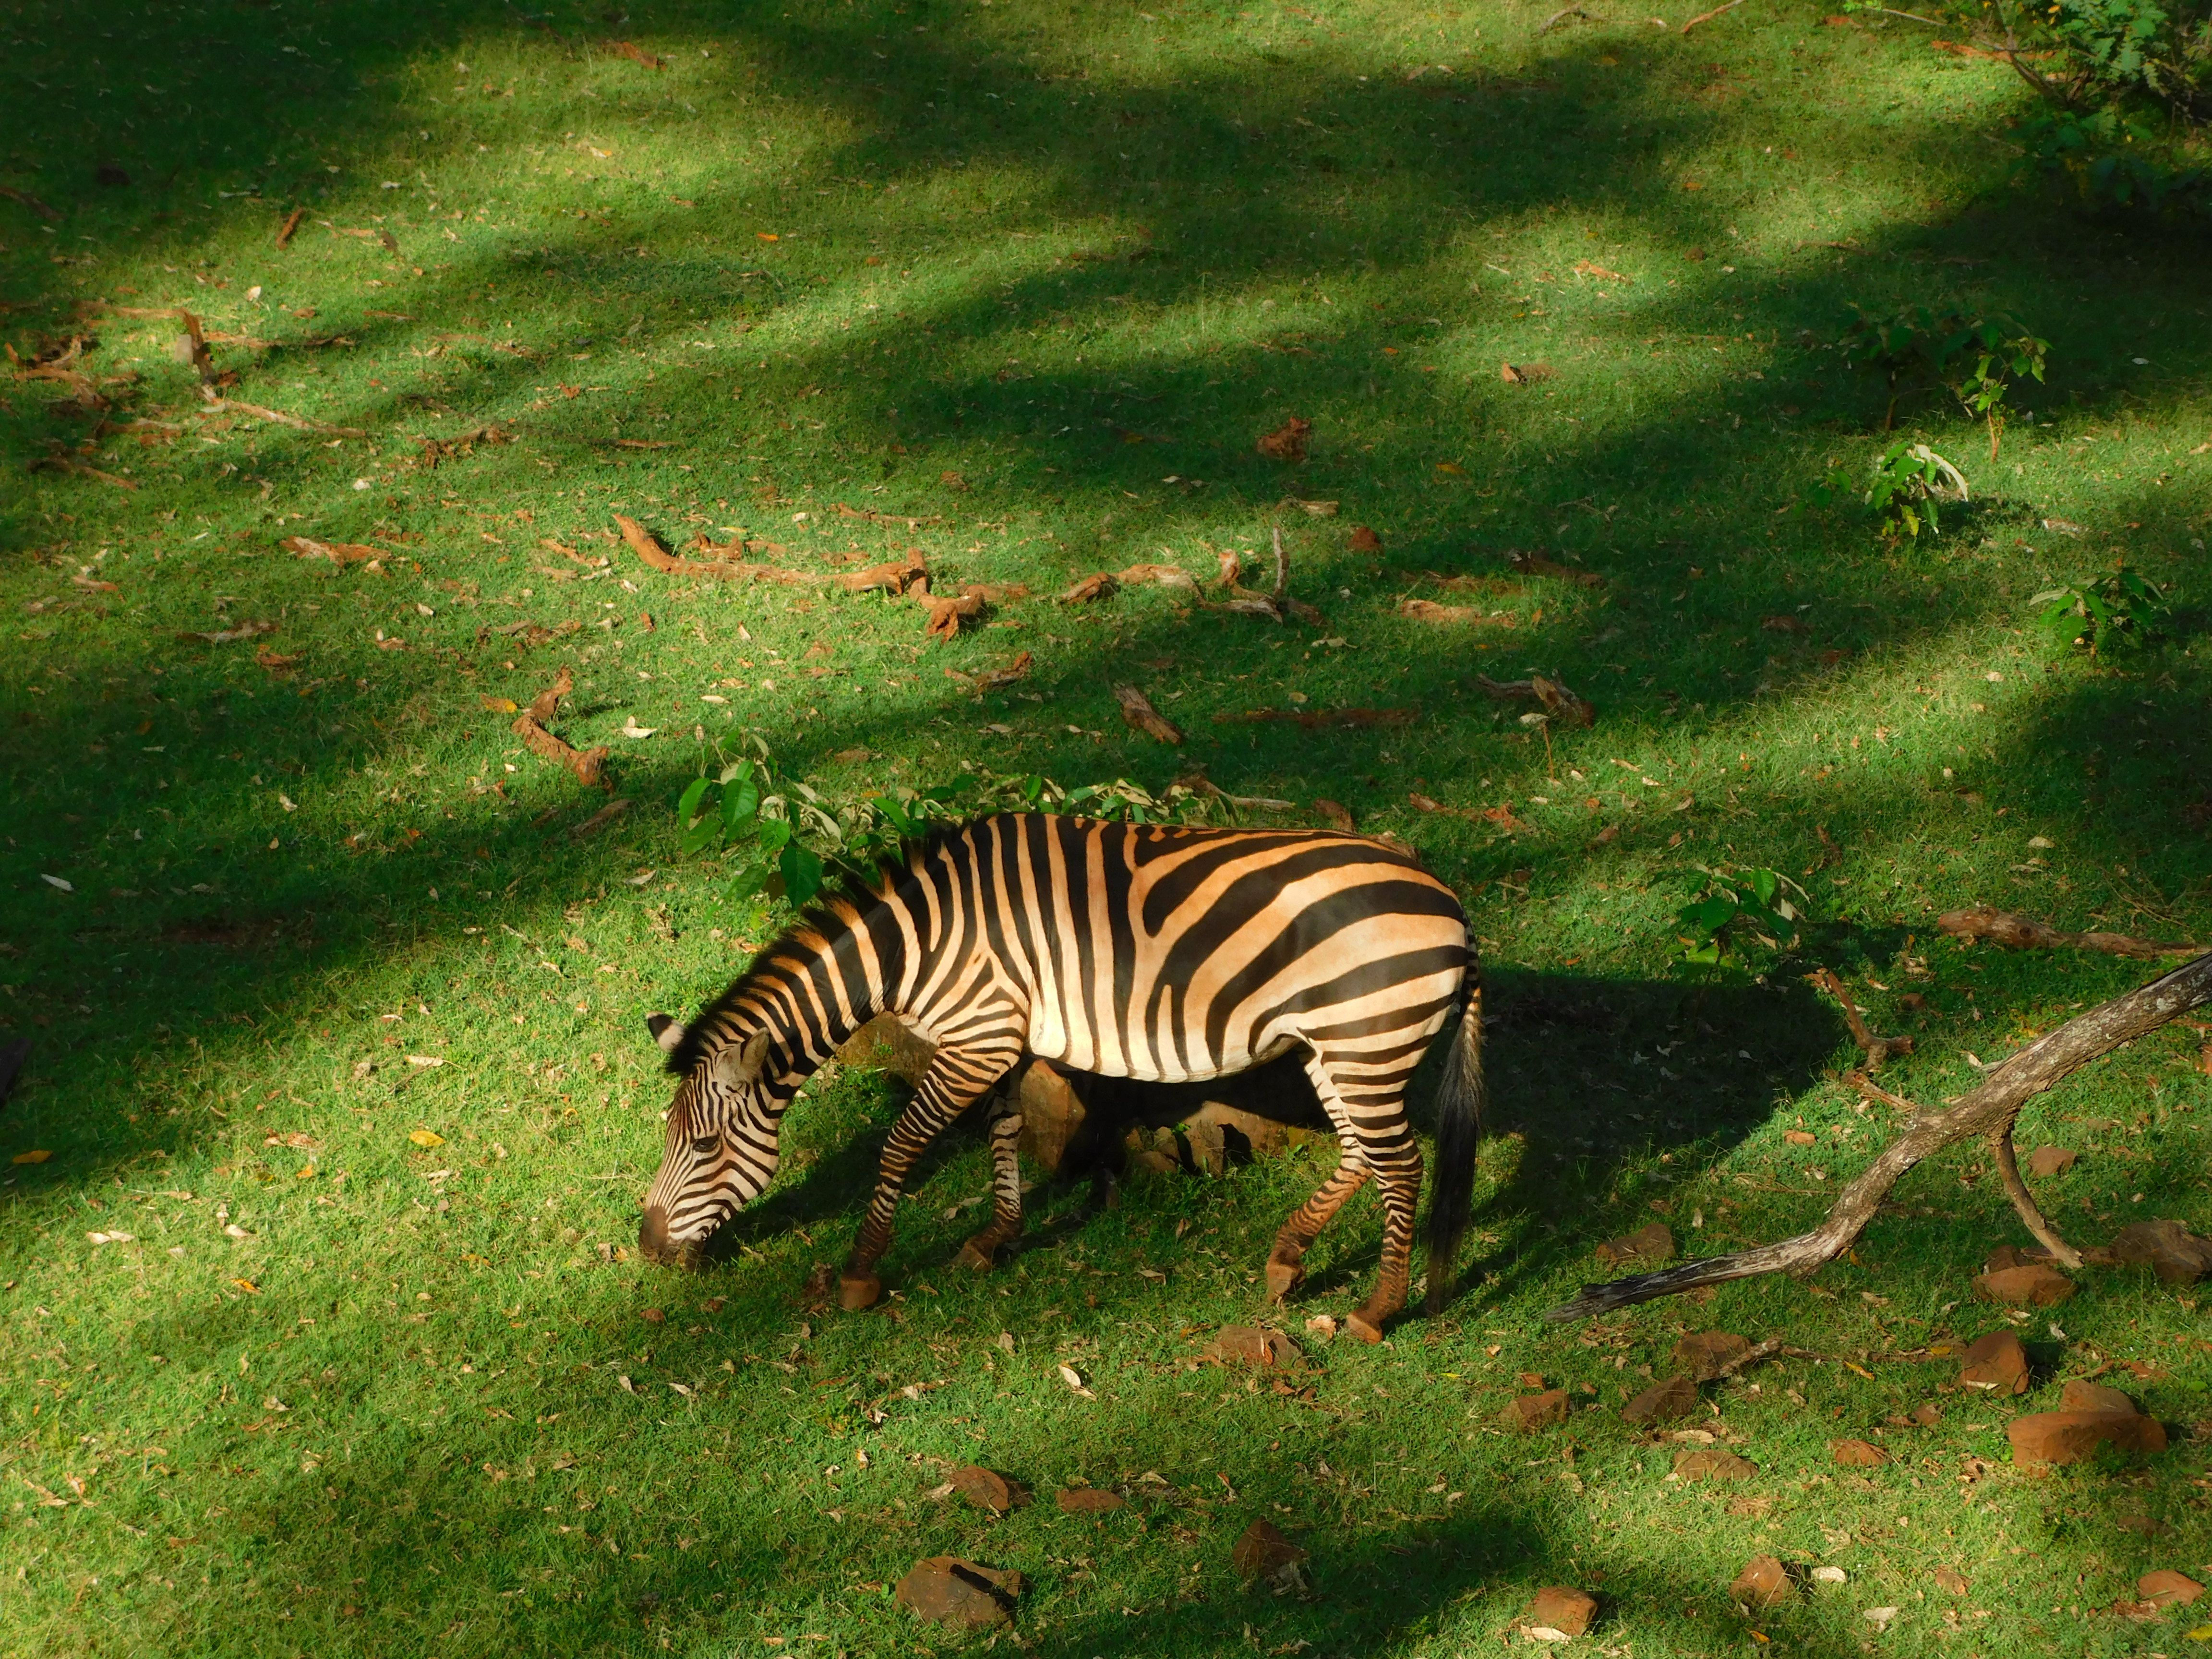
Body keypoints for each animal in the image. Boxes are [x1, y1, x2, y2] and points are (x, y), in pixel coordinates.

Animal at [639, 814, 1485, 1341]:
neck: (917, 945)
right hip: (1340, 1048)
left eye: (706, 1148)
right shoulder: (1000, 1038)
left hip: (1368, 1040)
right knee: (1362, 1153)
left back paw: (1377, 1310)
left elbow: (902, 1145)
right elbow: (1005, 1129)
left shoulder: (976, 1038)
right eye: (673, 1139)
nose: (646, 1249)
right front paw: (998, 1237)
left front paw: (861, 1270)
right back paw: (1288, 1257)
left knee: (1402, 1165)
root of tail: (1454, 908)